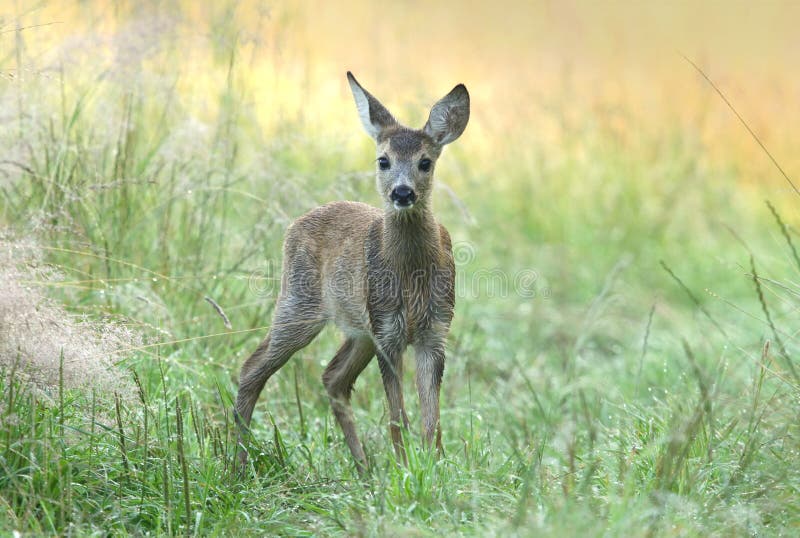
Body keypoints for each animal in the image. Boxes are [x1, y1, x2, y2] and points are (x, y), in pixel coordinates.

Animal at [235, 72, 469, 475]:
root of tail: (294, 224)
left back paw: (363, 470)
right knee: (252, 368)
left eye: (425, 162)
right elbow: (398, 417)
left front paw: (434, 471)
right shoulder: (389, 331)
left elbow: (431, 420)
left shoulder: (435, 330)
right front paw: (405, 470)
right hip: (299, 304)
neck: (410, 274)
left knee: (333, 377)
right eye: (383, 160)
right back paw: (236, 465)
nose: (402, 193)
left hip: (359, 329)